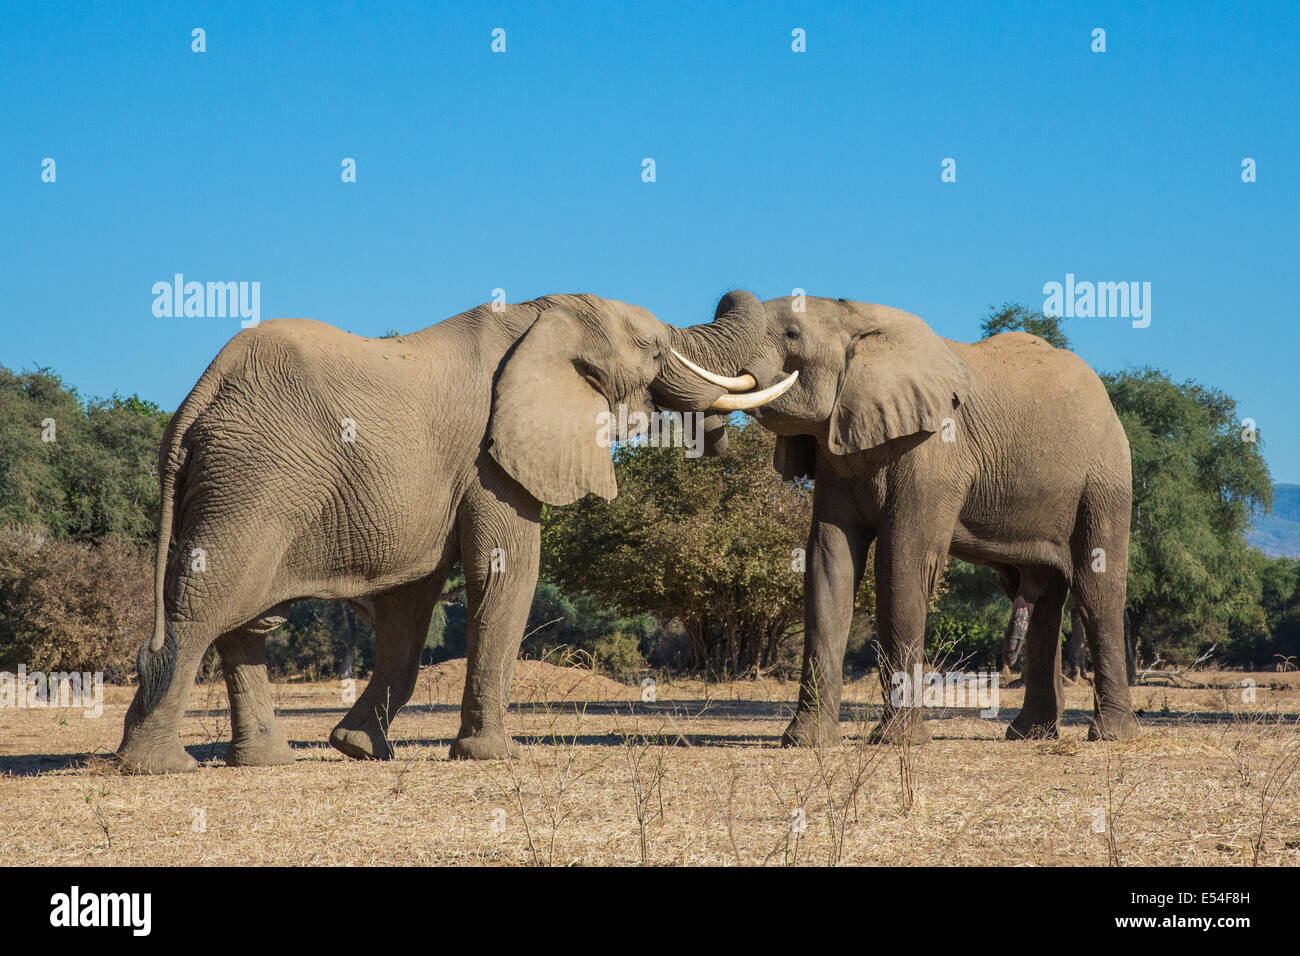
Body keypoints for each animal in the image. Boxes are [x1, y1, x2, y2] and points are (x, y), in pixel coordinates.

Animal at [117, 293, 793, 773]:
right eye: (653, 349)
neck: (538, 314)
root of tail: (195, 400)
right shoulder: (489, 458)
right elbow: (508, 570)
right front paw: (493, 756)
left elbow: (411, 601)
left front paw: (357, 748)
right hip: (256, 479)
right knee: (208, 602)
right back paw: (157, 765)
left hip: (240, 481)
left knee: (247, 618)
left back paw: (264, 762)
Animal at [686, 290, 1139, 745]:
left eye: (792, 334)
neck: (858, 320)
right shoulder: (836, 450)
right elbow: (829, 563)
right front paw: (805, 741)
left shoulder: (932, 448)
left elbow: (902, 561)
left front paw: (895, 741)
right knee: (1038, 595)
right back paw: (1029, 733)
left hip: (1105, 477)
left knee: (1097, 587)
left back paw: (1111, 734)